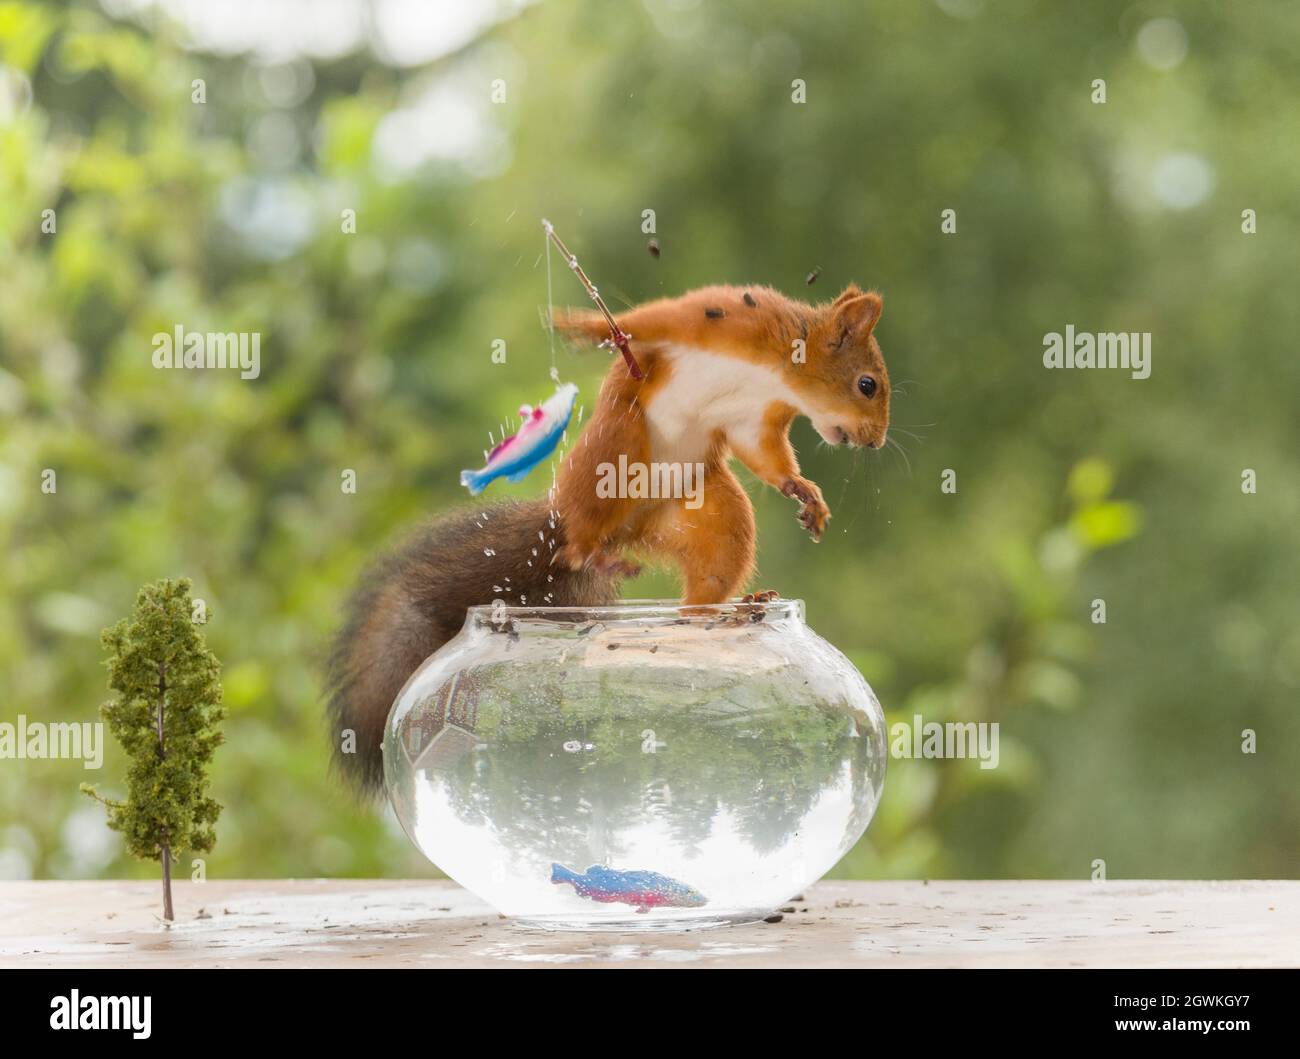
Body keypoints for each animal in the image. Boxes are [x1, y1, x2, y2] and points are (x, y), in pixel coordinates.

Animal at [326, 282, 890, 794]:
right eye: (867, 384)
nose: (876, 442)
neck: (779, 366)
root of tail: (611, 524)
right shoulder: (721, 319)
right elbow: (652, 320)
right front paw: (583, 326)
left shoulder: (755, 419)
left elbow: (767, 456)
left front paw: (805, 493)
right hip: (616, 450)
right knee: (580, 541)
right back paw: (600, 557)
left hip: (710, 513)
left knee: (697, 592)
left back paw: (729, 611)